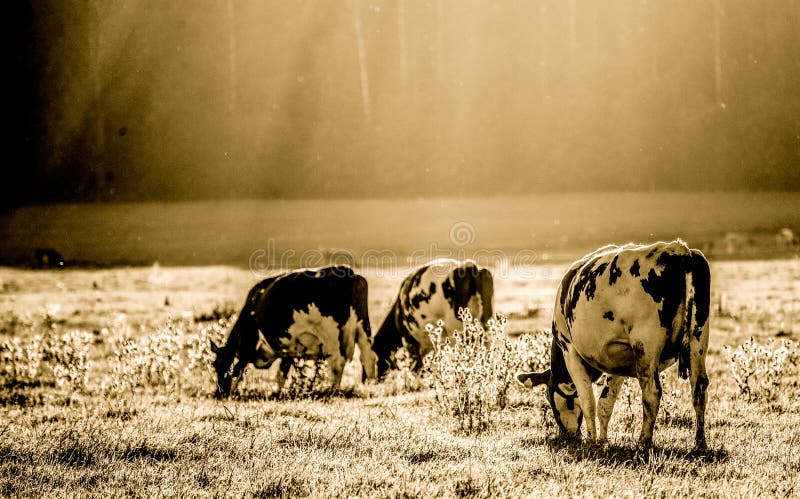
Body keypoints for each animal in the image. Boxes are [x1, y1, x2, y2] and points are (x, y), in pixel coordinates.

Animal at [209, 265, 378, 397]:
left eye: (220, 366)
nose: (219, 393)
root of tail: (347, 271)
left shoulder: (249, 345)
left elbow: (241, 367)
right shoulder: (288, 346)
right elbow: (282, 371)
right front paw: (278, 392)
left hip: (330, 333)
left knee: (337, 362)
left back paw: (332, 390)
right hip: (363, 328)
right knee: (368, 357)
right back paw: (369, 388)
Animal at [517, 241, 710, 450]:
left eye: (549, 397)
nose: (569, 436)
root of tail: (680, 250)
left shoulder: (570, 350)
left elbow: (588, 401)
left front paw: (592, 440)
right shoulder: (619, 360)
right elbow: (605, 403)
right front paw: (603, 440)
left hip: (645, 345)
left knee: (652, 392)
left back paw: (644, 442)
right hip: (698, 338)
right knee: (699, 387)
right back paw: (699, 443)